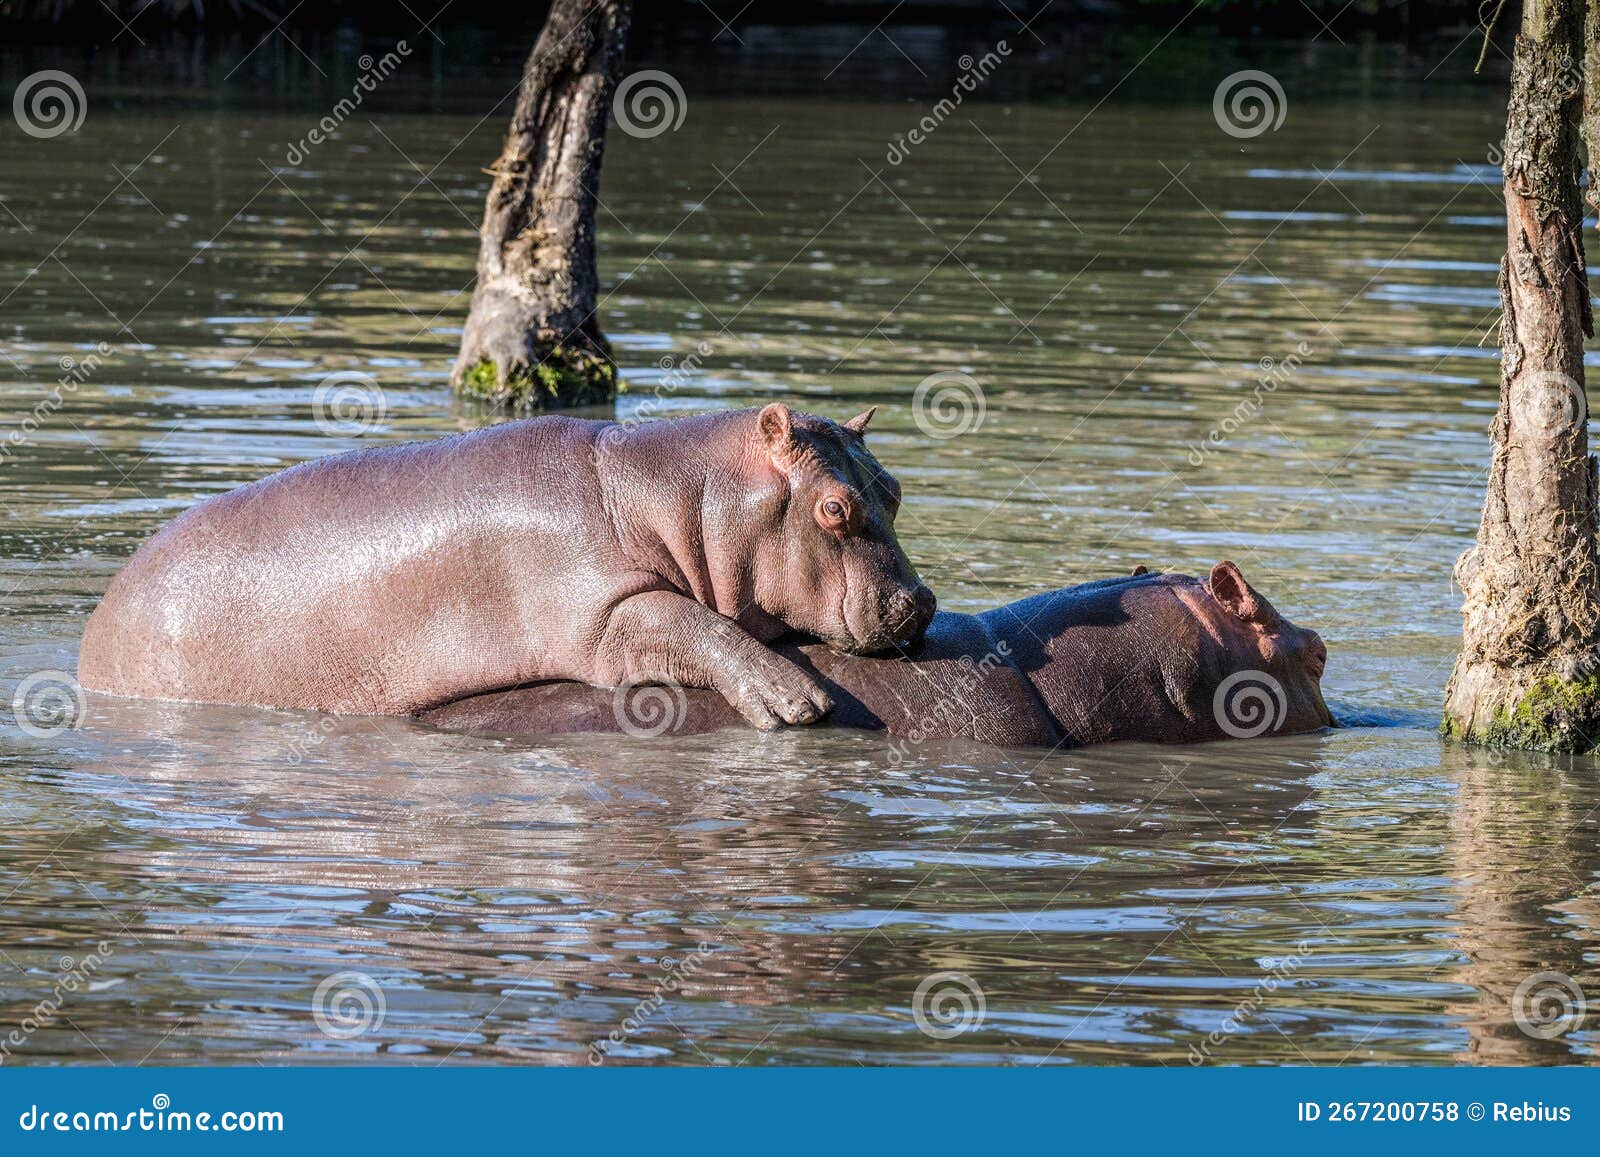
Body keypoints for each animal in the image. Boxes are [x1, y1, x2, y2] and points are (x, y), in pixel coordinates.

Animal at [78, 404, 935, 729]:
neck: (673, 490)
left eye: (893, 486)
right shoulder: (602, 615)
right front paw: (797, 700)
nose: (921, 600)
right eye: (834, 507)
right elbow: (691, 623)